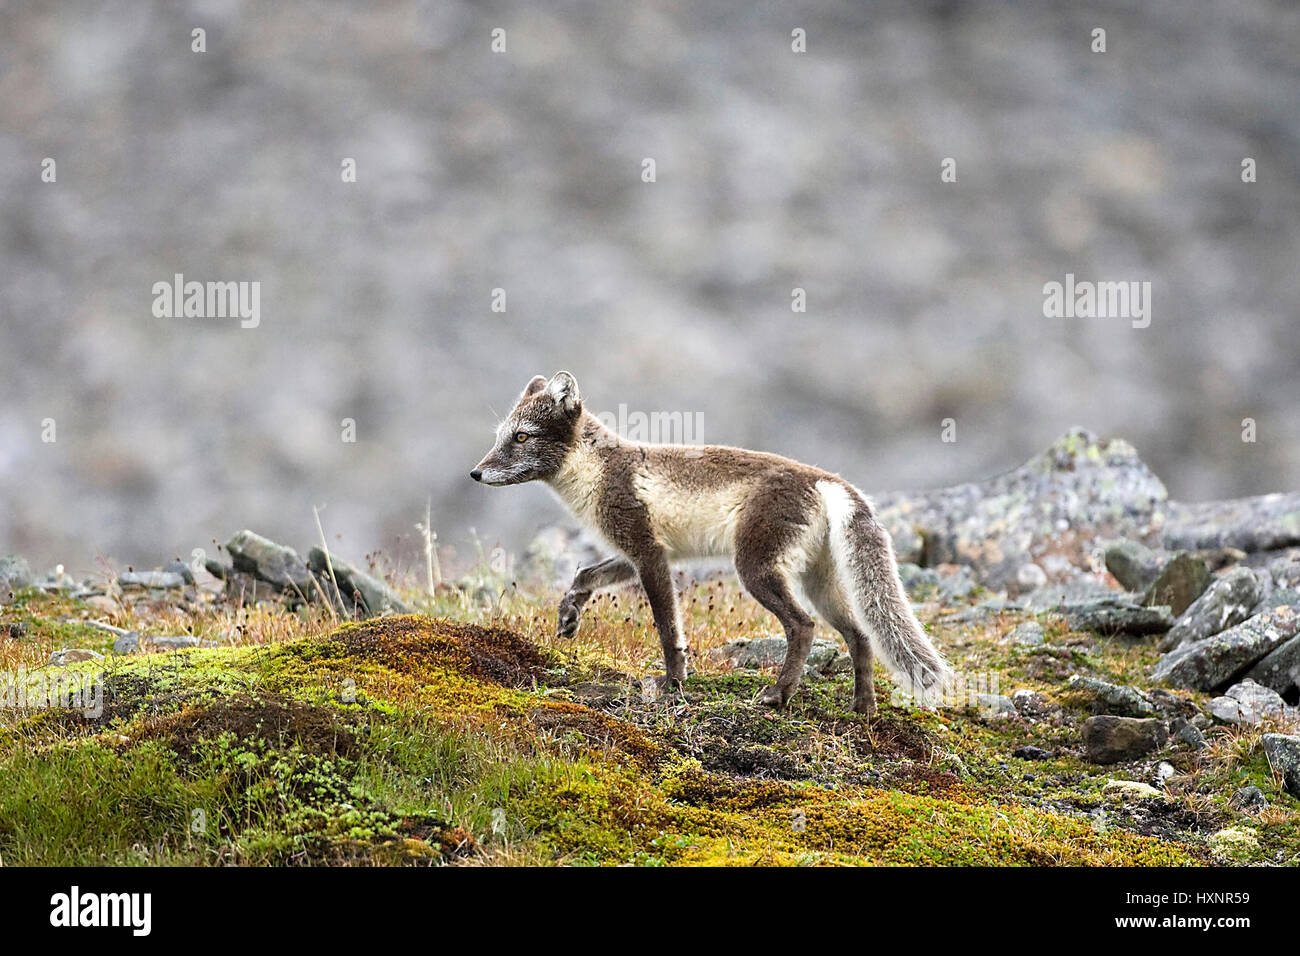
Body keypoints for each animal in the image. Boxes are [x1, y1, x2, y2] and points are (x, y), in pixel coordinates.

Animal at [471, 371, 952, 715]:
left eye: (522, 436)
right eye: (500, 435)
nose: (475, 473)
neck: (596, 472)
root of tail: (828, 479)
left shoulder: (648, 553)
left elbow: (668, 627)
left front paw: (673, 682)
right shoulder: (640, 551)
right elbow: (585, 573)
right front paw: (569, 615)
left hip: (756, 570)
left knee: (803, 626)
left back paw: (778, 695)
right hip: (819, 581)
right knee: (860, 634)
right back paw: (863, 708)